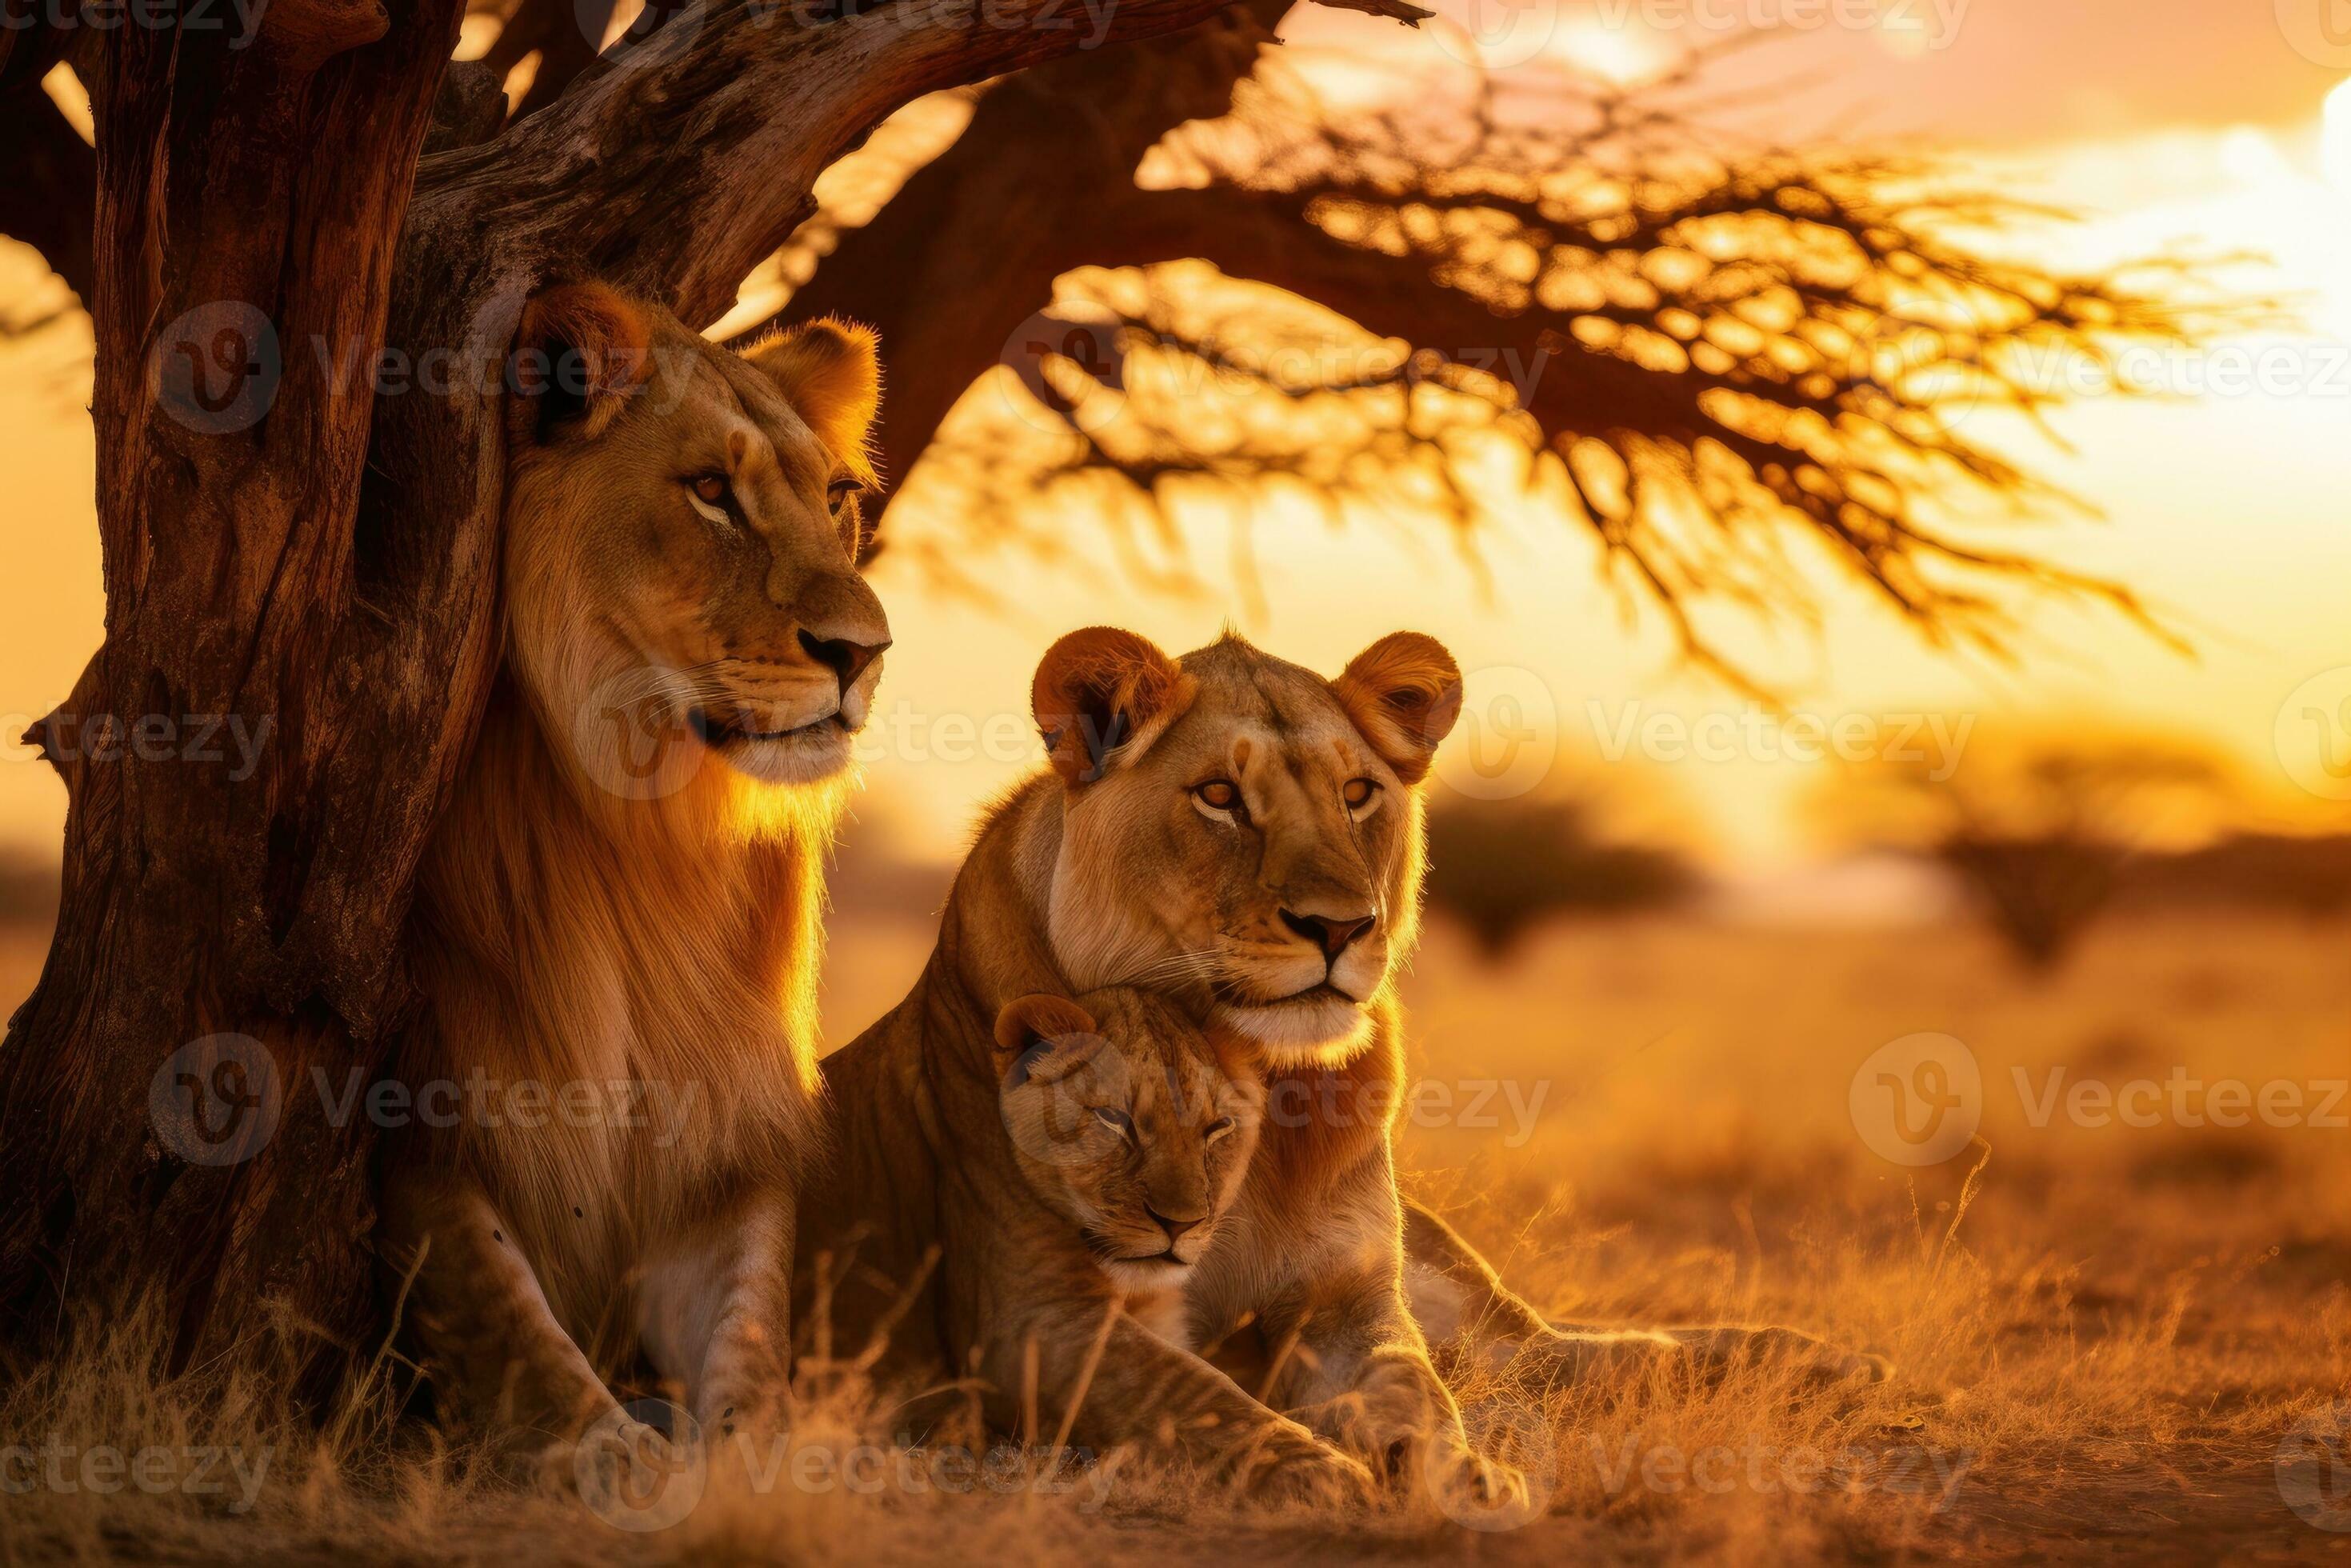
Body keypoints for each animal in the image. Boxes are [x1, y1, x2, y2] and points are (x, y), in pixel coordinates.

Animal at [374, 282, 889, 1455]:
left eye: (836, 500)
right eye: (710, 493)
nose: (862, 654)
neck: (645, 836)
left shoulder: (721, 1146)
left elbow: (751, 1346)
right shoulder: (422, 1118)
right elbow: (531, 1356)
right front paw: (620, 1465)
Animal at [795, 985, 1374, 1506]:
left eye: (1217, 1128)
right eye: (1114, 1120)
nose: (1180, 1224)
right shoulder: (1026, 1330)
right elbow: (1190, 1391)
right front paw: (1329, 1477)